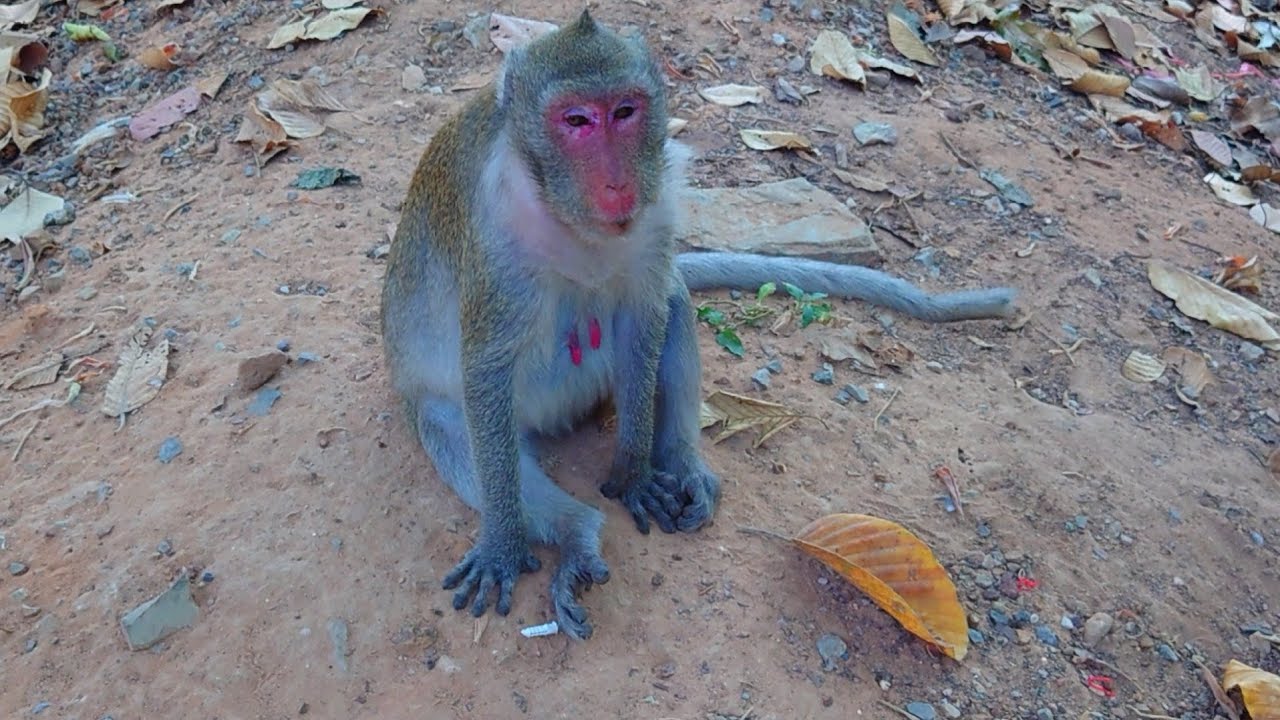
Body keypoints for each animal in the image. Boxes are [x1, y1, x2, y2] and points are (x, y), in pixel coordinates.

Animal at [379, 10, 1015, 641]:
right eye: (577, 120)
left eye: (625, 112)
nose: (618, 184)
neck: (566, 215)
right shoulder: (493, 238)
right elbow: (487, 366)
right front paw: (505, 543)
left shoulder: (658, 204)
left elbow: (645, 317)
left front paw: (635, 472)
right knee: (460, 437)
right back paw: (577, 532)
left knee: (676, 300)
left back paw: (678, 465)